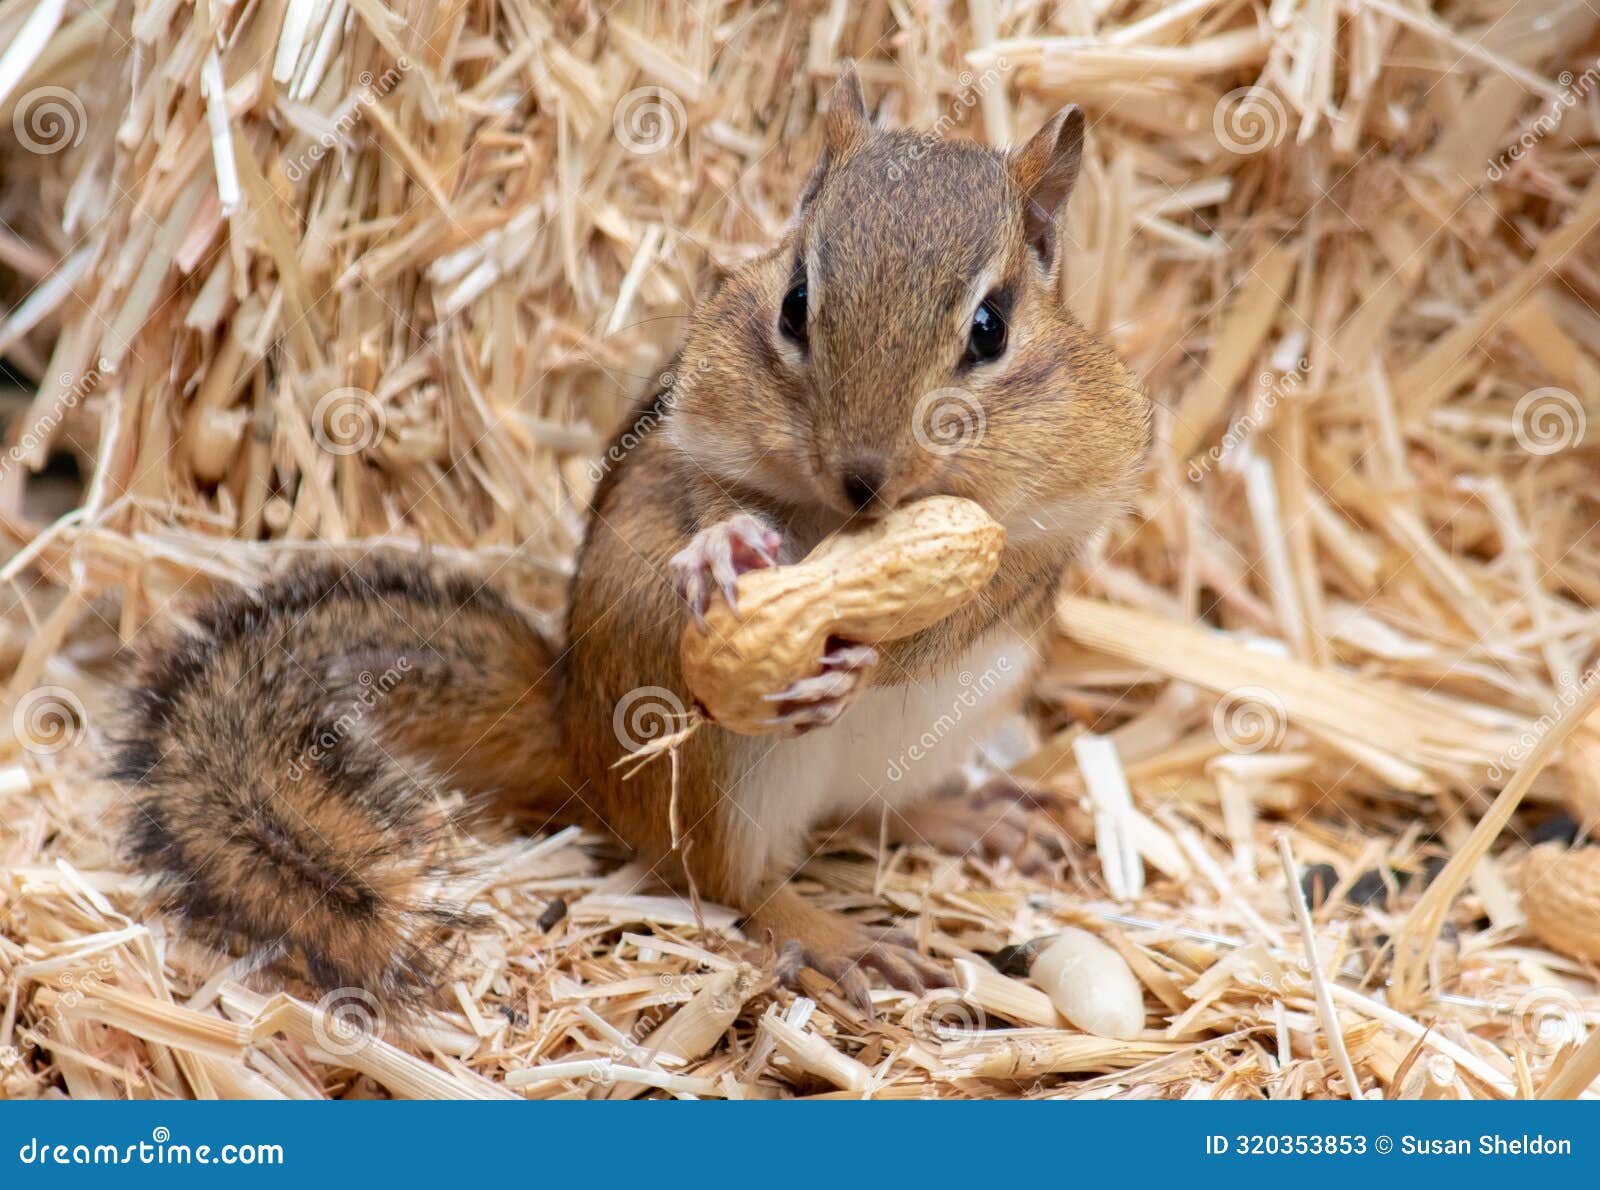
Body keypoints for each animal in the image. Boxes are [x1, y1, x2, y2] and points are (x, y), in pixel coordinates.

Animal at [110, 69, 1151, 1009]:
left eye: (991, 327)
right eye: (794, 302)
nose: (862, 478)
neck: (847, 534)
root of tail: (575, 746)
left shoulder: (1045, 537)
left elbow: (973, 600)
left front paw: (865, 655)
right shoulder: (685, 443)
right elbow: (700, 501)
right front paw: (725, 552)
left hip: (962, 709)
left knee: (865, 810)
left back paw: (963, 817)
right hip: (725, 763)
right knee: (732, 879)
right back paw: (833, 935)